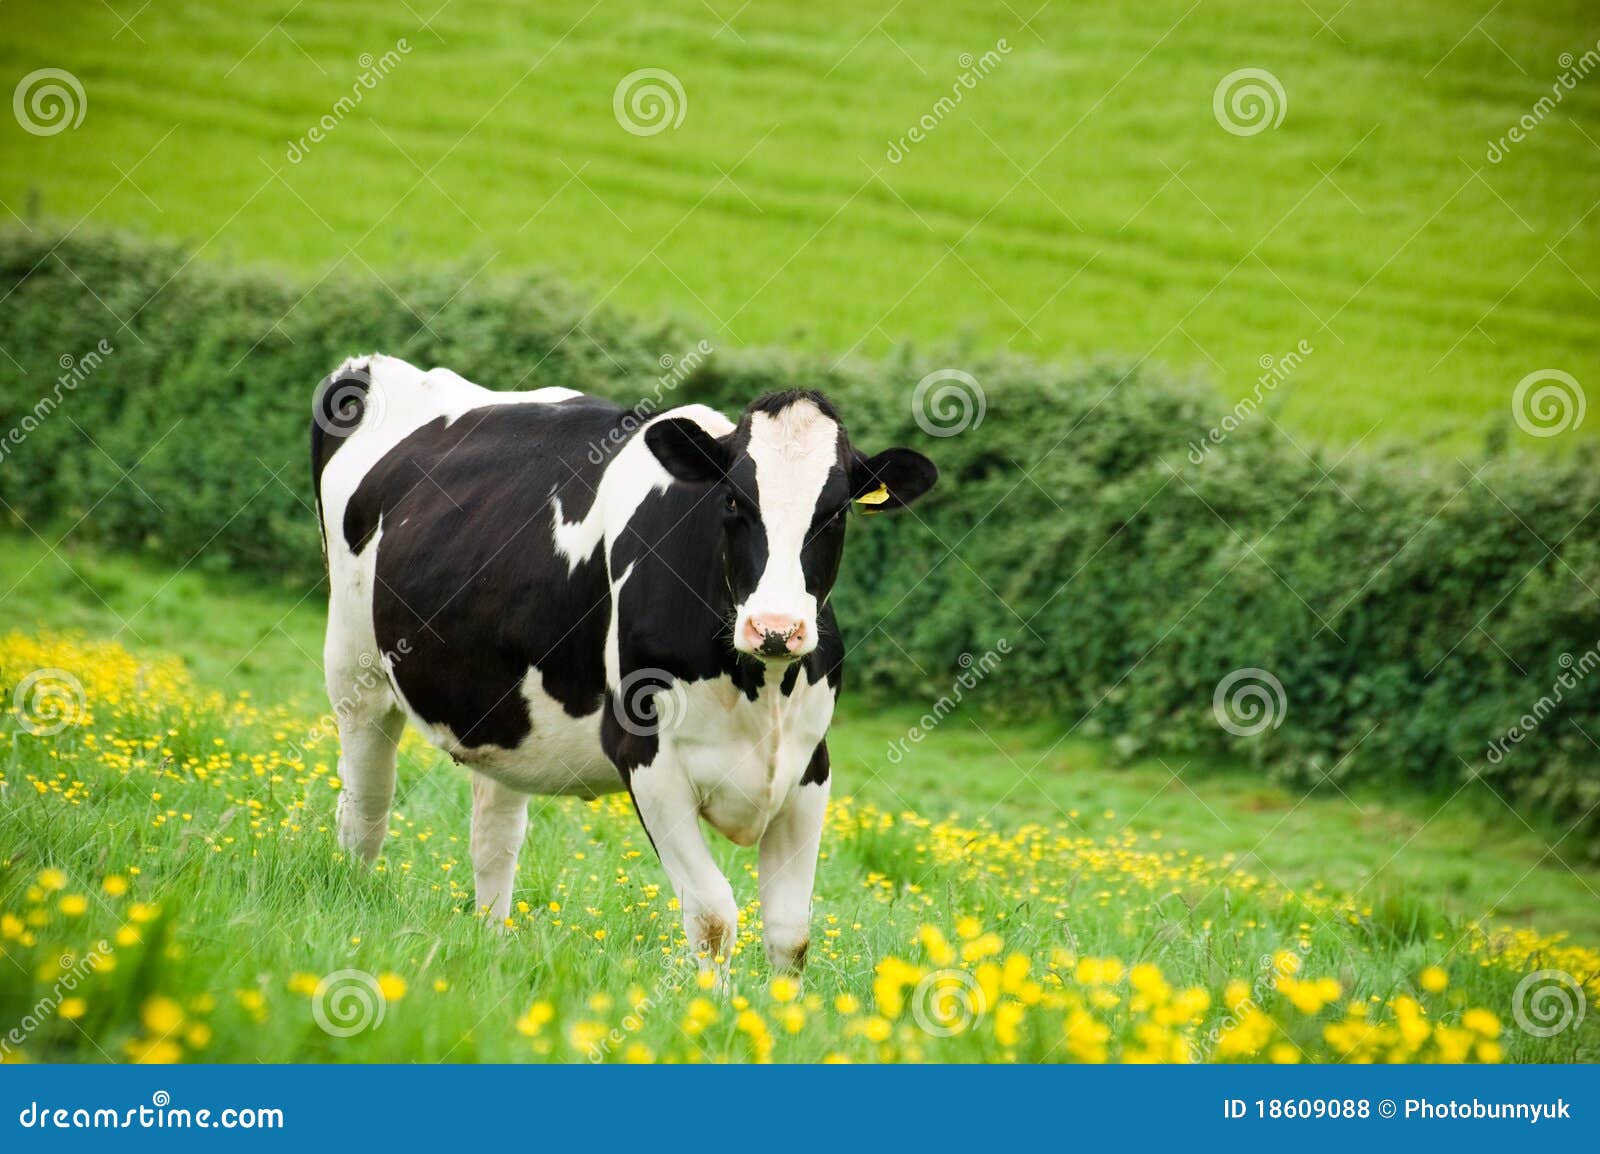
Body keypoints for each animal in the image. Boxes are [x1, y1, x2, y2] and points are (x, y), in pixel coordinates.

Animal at [311, 353, 937, 977]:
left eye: (835, 513)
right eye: (734, 501)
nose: (776, 628)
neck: (759, 692)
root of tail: (370, 366)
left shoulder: (809, 766)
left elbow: (791, 935)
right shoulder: (647, 757)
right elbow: (713, 918)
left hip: (504, 710)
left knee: (495, 835)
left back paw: (491, 943)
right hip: (354, 673)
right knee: (365, 808)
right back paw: (352, 907)